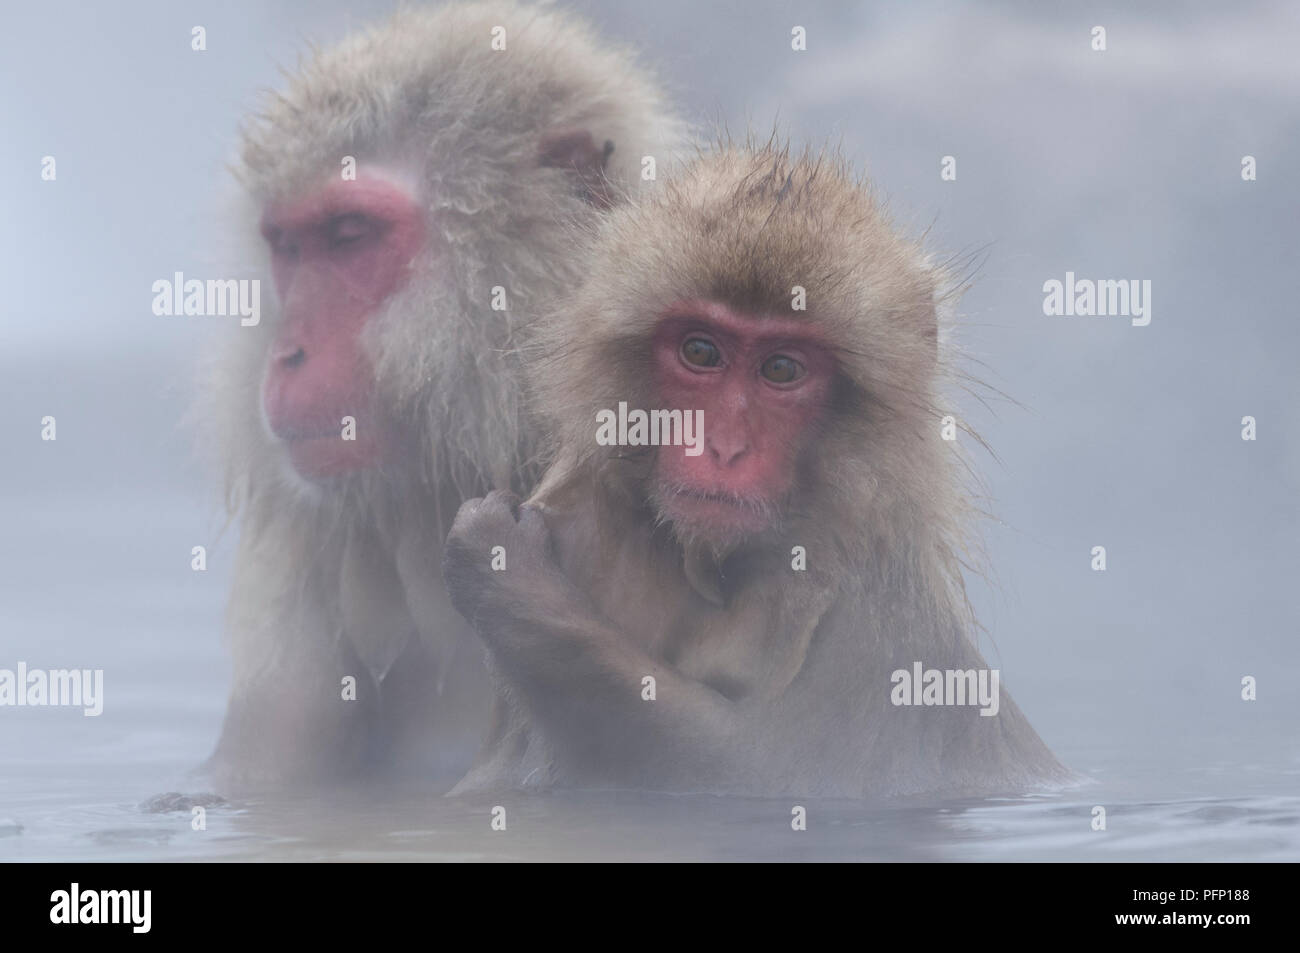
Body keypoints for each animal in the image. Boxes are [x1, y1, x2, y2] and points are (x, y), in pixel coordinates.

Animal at [443, 141, 1070, 797]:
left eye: (781, 369)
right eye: (700, 352)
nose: (724, 448)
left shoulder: (873, 603)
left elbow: (770, 768)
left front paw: (512, 584)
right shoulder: (581, 511)